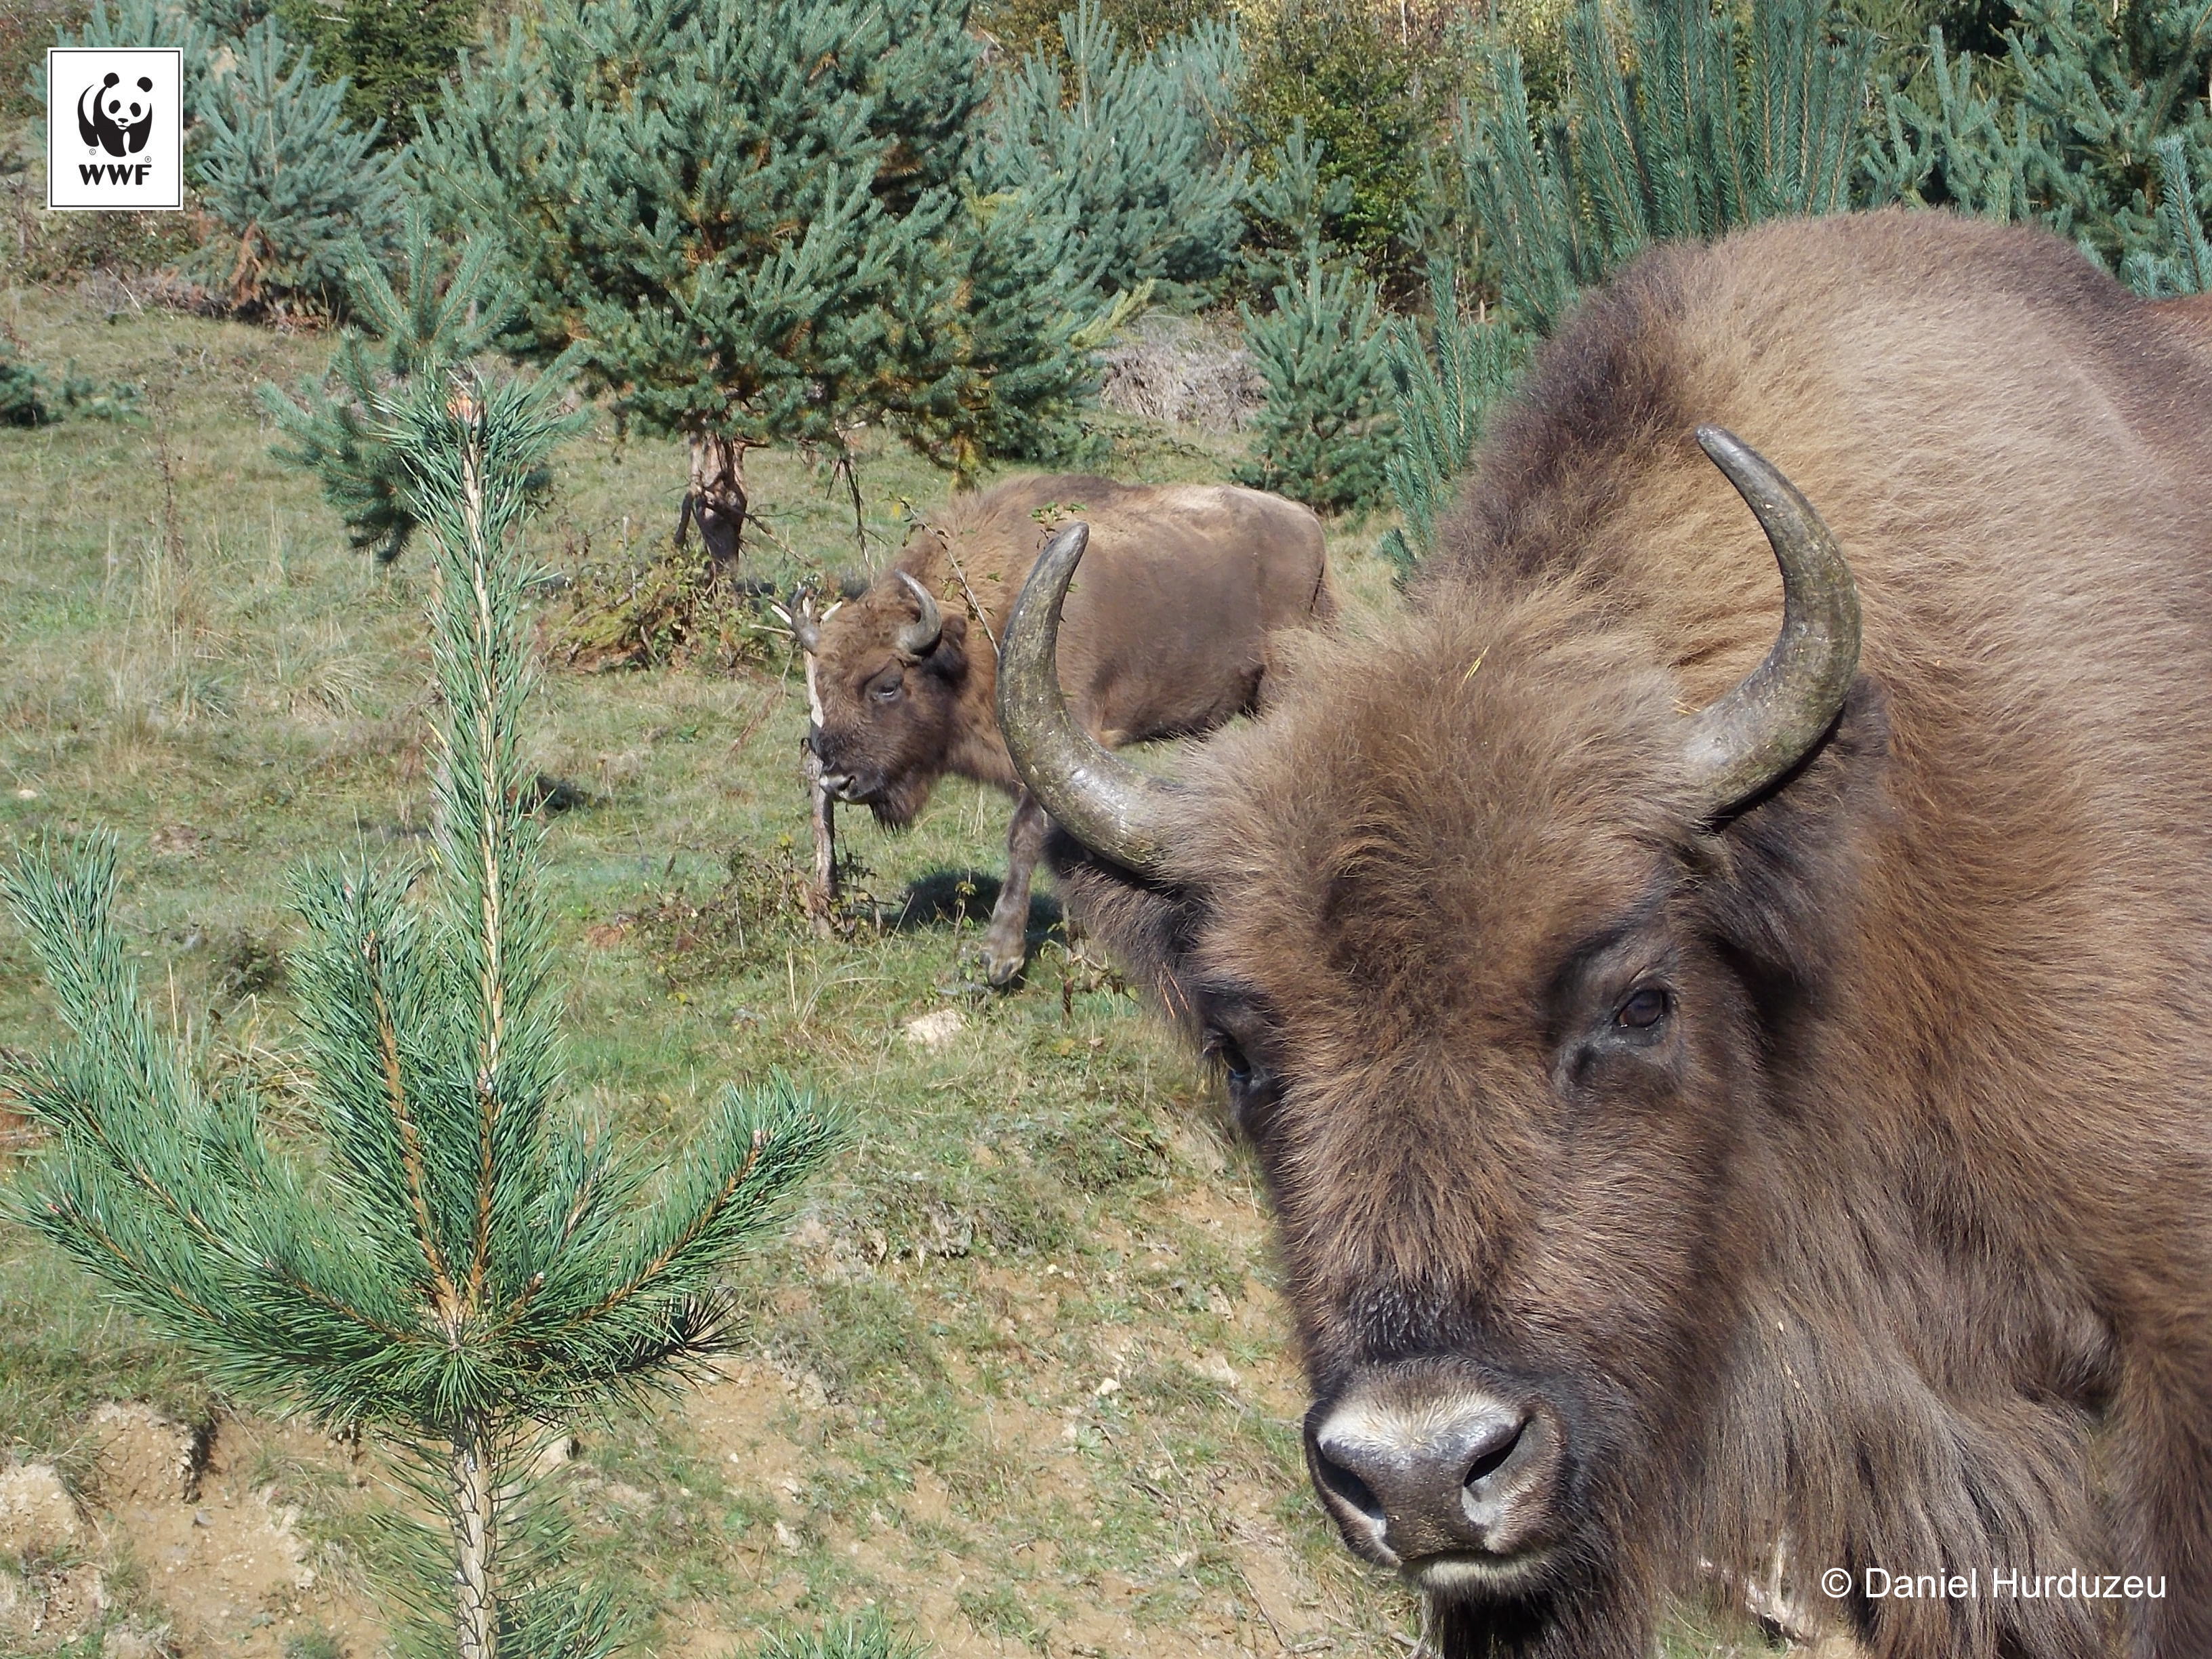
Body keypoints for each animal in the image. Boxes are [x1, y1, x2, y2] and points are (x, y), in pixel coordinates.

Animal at [802, 473, 1334, 984]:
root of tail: (1308, 525)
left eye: (888, 684)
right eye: (823, 684)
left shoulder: (1060, 735)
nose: (838, 780)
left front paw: (1002, 958)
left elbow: (1026, 835)